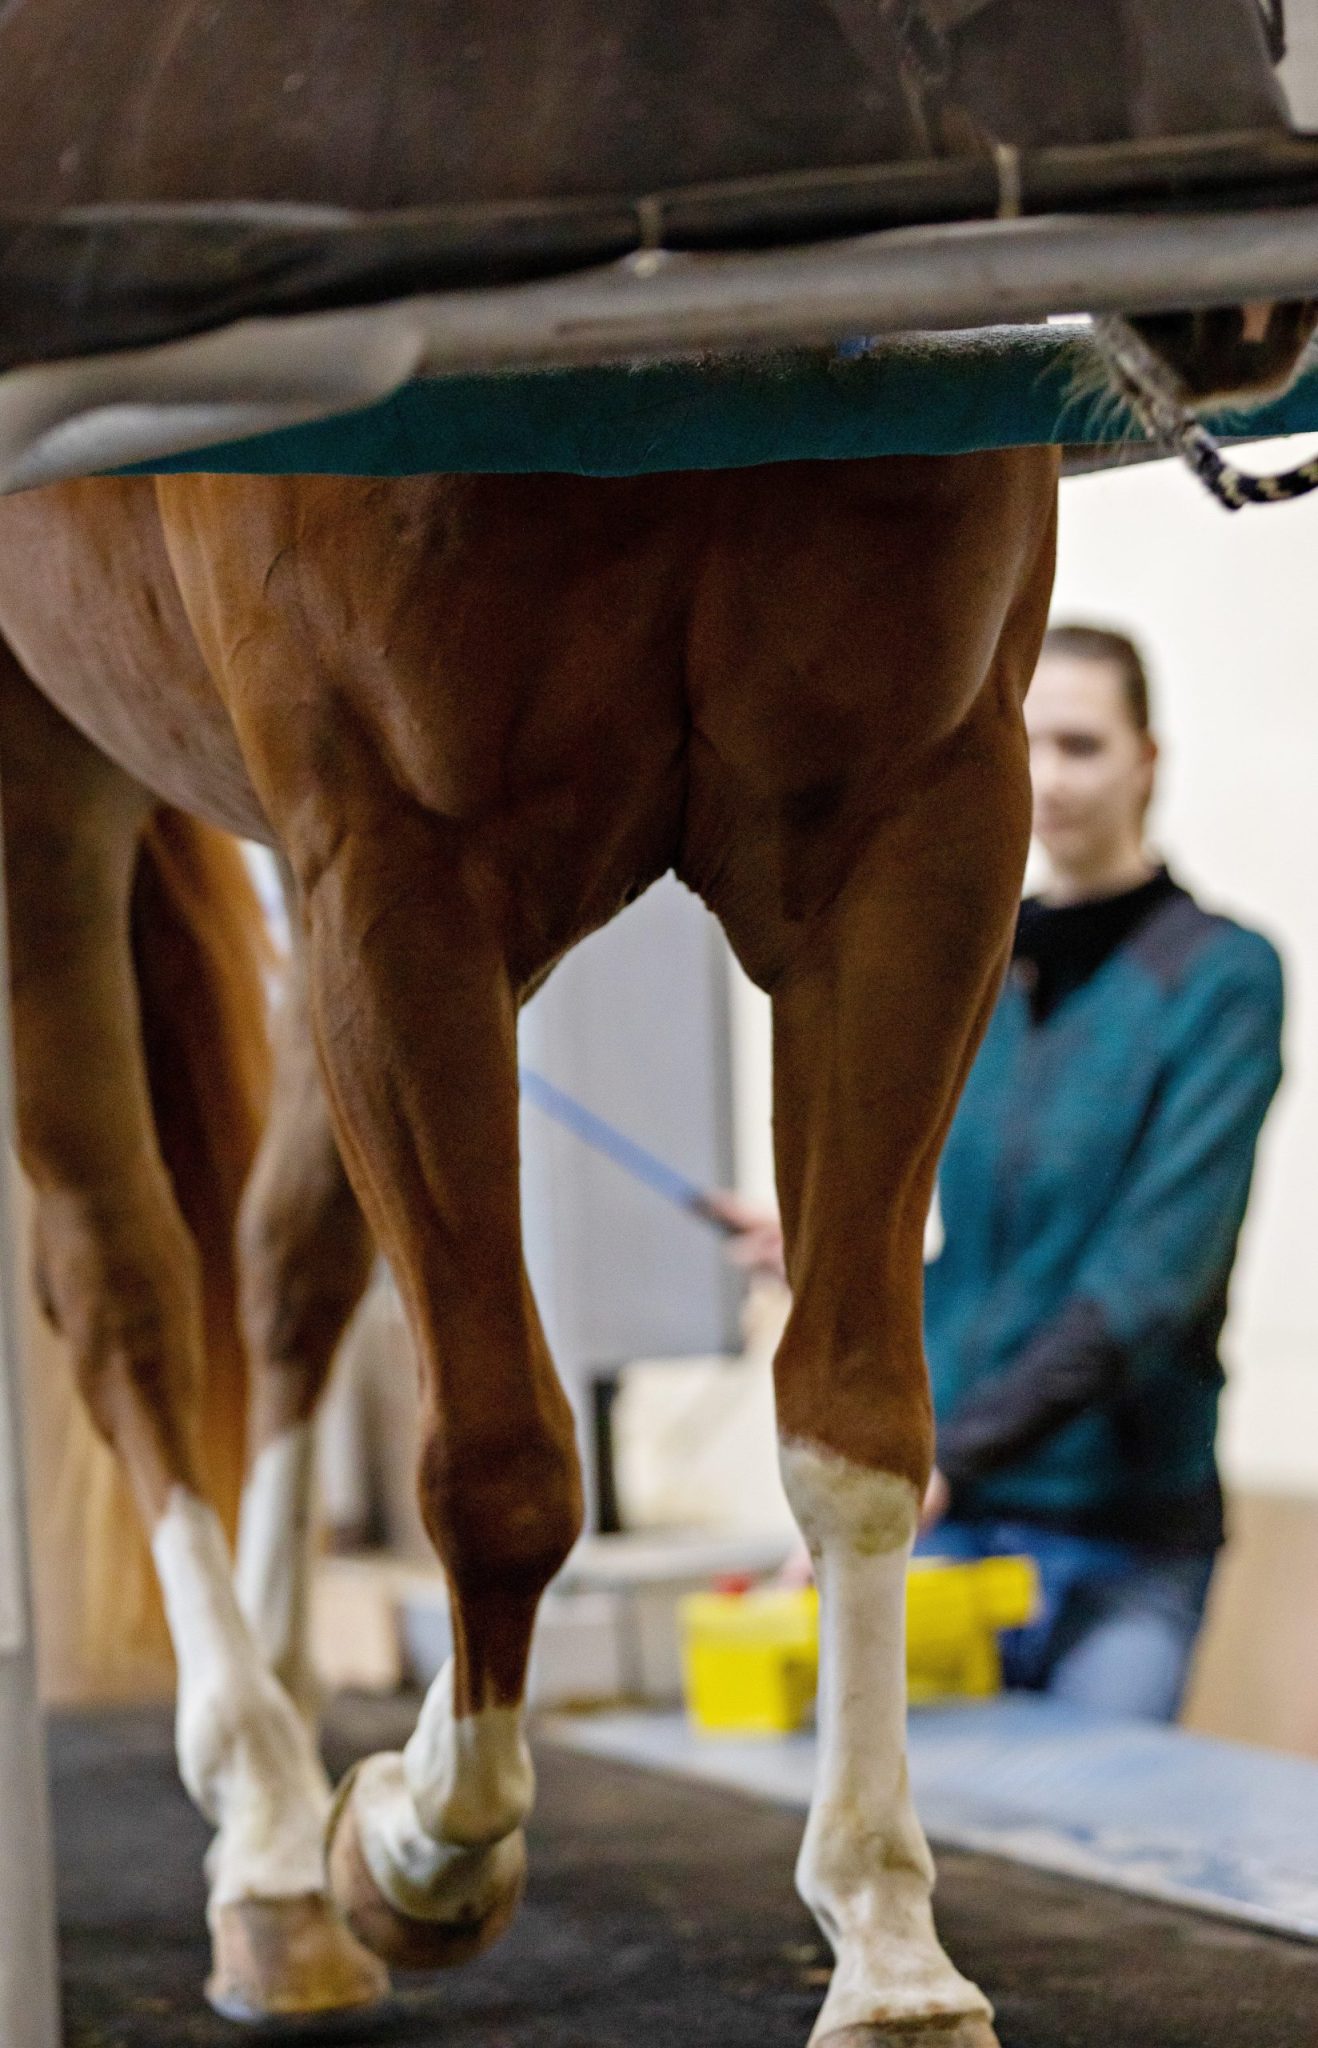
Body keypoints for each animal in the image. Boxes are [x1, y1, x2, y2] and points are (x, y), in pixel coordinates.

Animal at [0, 1, 1312, 2041]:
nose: (1228, 282)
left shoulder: (916, 842)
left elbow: (853, 1419)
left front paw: (883, 1931)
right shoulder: (396, 871)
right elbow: (500, 1461)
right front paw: (417, 1848)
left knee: (287, 1264)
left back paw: (283, 1750)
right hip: (58, 784)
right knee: (124, 1285)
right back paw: (274, 1829)